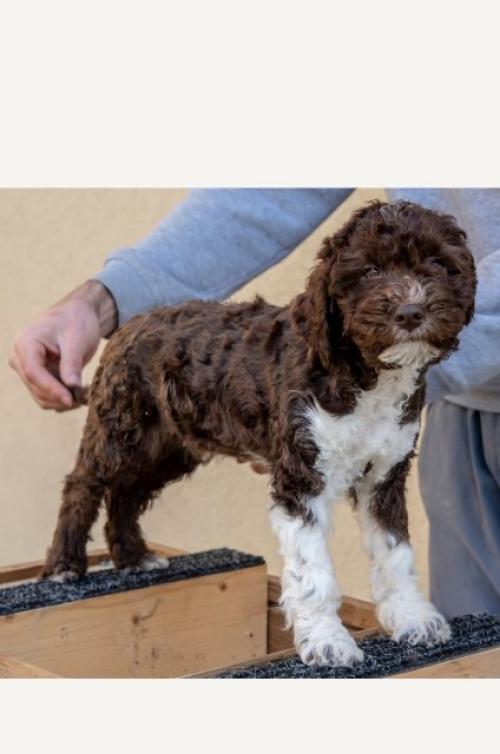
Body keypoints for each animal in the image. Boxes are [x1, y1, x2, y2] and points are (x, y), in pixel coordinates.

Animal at [43, 200, 476, 664]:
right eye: (371, 270)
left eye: (438, 263)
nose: (411, 312)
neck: (366, 376)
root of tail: (129, 325)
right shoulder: (301, 477)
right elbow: (313, 571)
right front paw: (328, 642)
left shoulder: (384, 475)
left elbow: (396, 553)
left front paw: (415, 620)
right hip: (121, 428)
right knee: (83, 485)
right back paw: (65, 565)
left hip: (168, 446)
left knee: (127, 494)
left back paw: (134, 557)